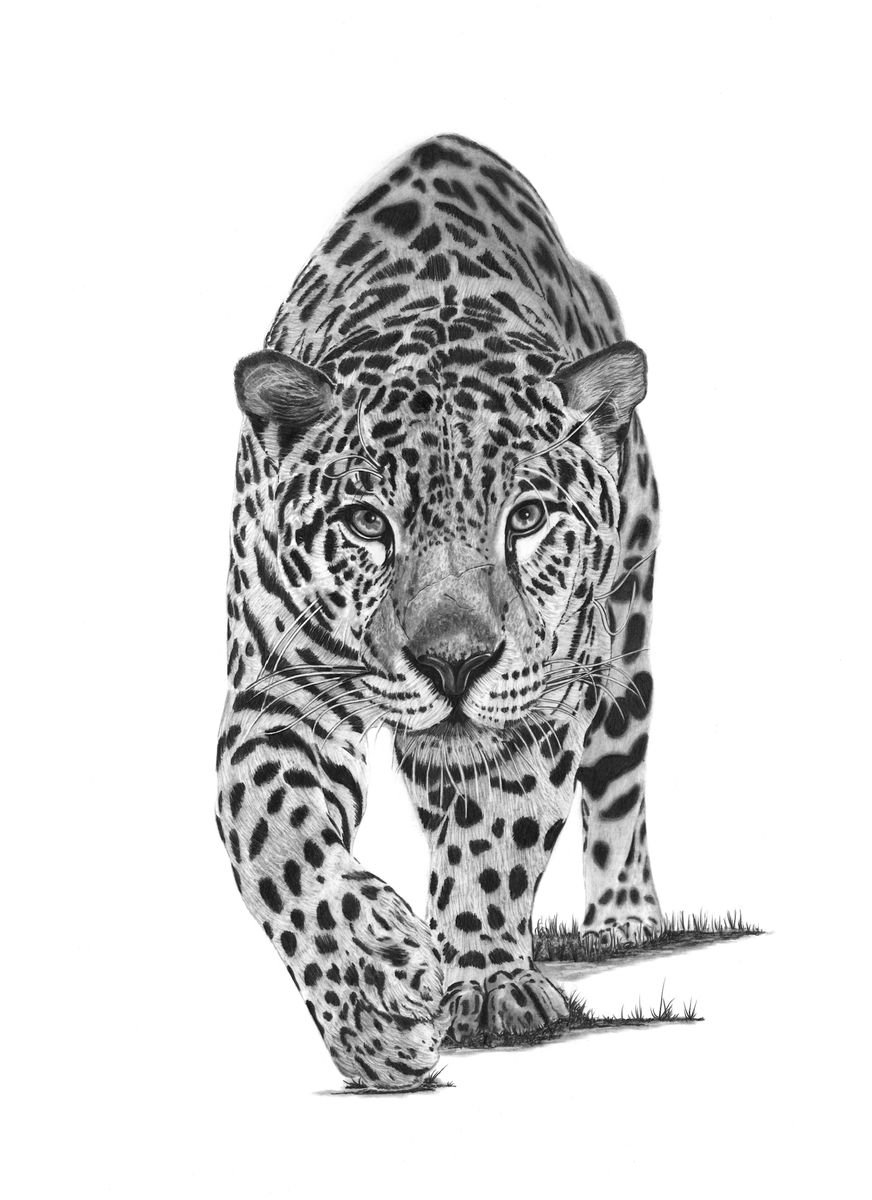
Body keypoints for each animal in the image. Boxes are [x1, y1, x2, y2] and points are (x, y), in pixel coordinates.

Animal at [216, 133, 663, 1089]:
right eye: (366, 524)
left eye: (525, 518)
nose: (454, 662)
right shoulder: (277, 689)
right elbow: (275, 833)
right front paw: (372, 998)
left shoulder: (544, 691)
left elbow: (498, 831)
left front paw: (487, 981)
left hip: (629, 642)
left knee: (618, 781)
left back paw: (623, 916)